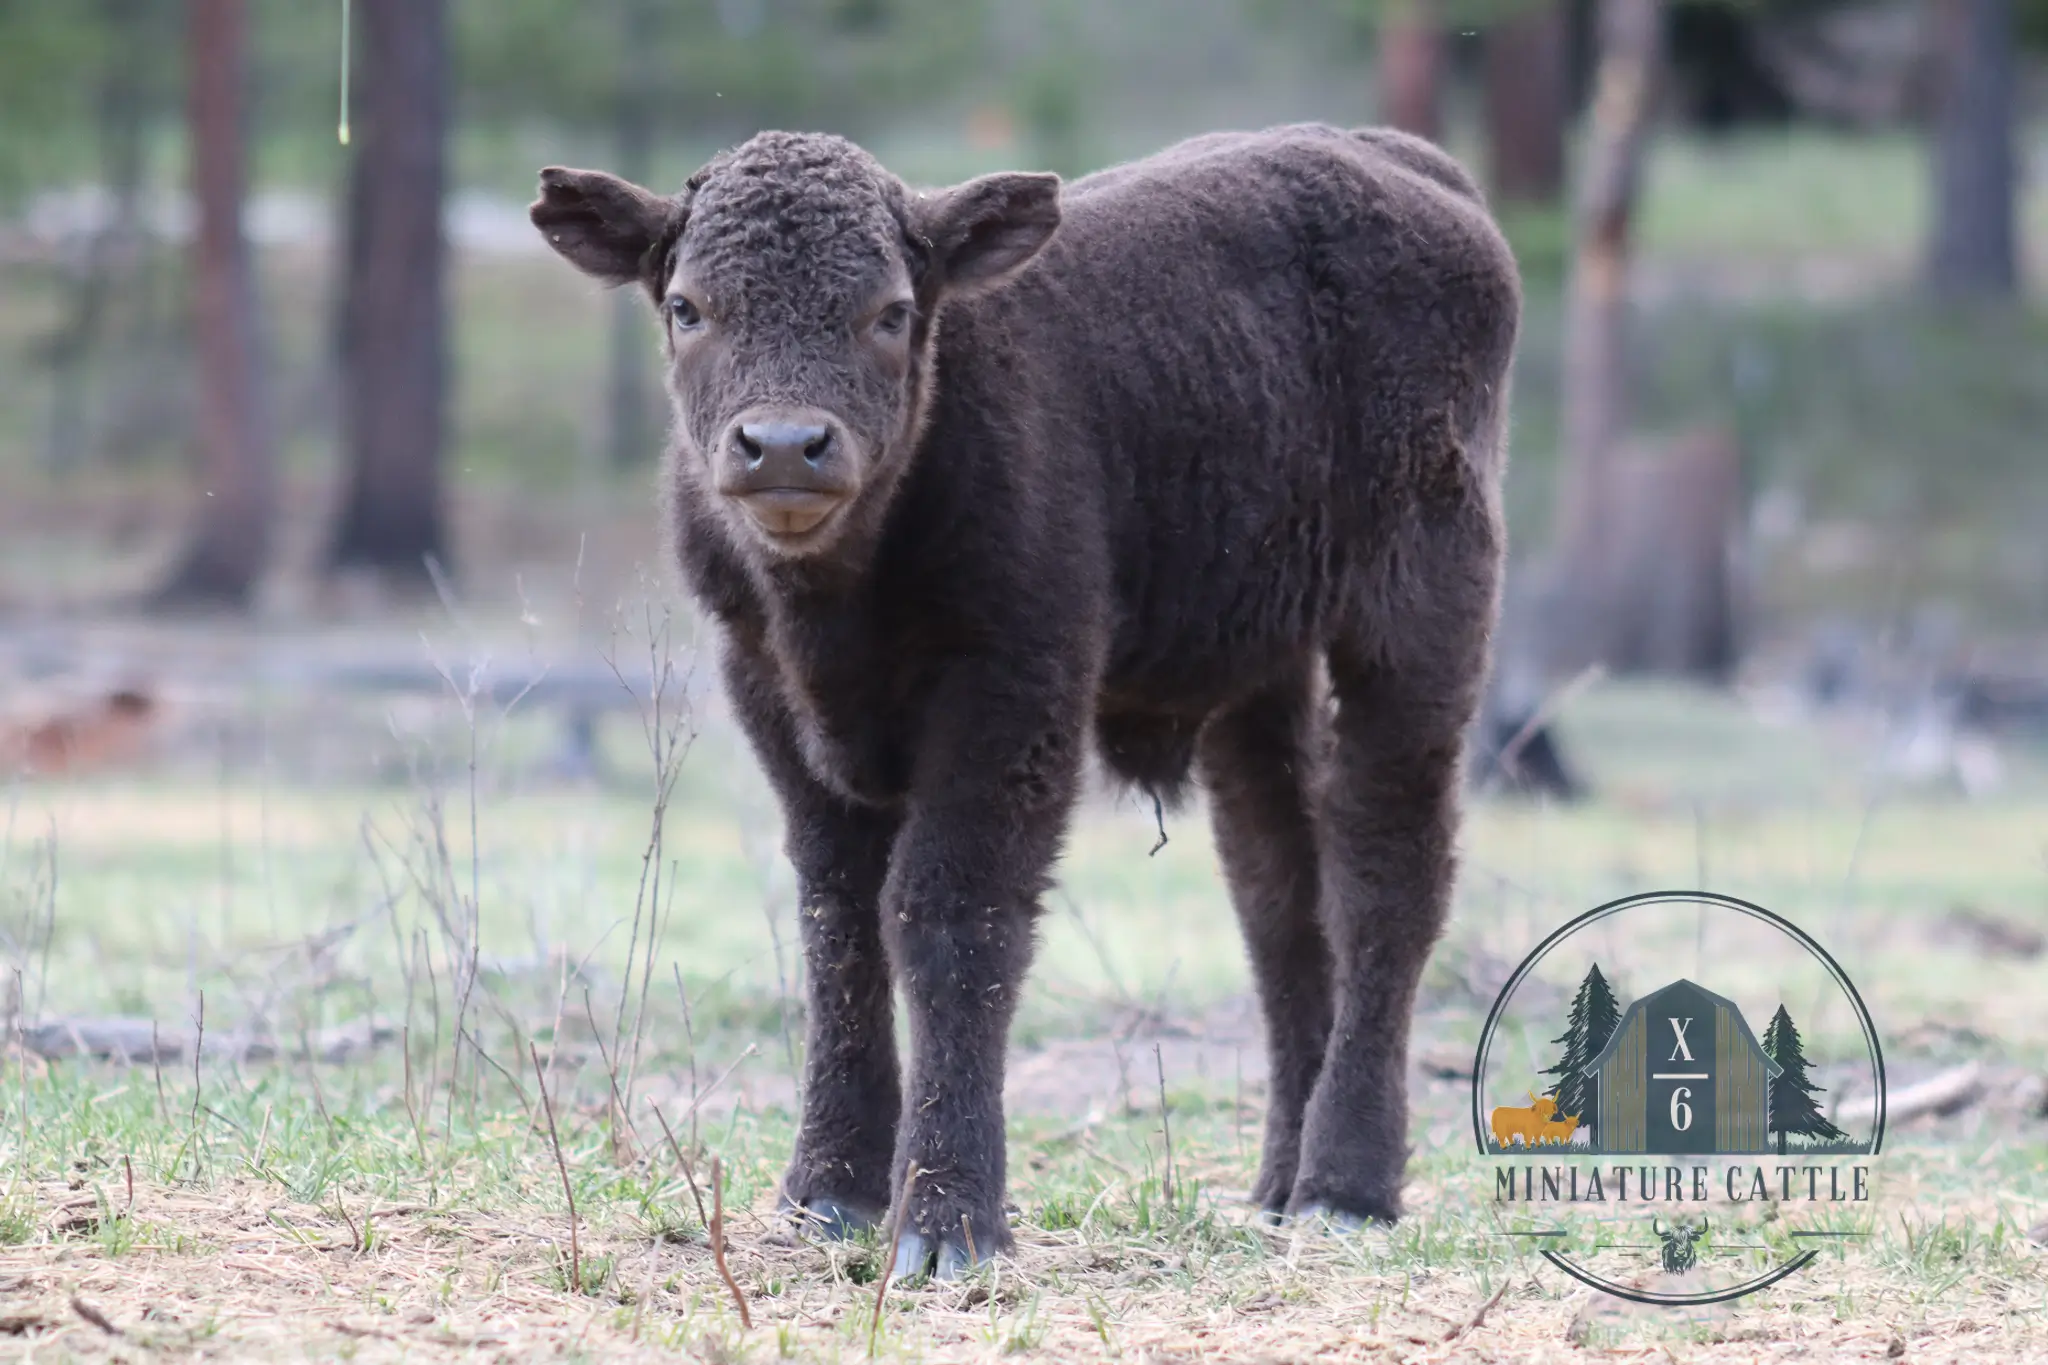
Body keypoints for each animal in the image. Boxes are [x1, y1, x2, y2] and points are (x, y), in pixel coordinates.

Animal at [529, 123, 1519, 1279]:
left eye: (890, 311)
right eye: (688, 306)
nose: (782, 446)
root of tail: (1410, 165)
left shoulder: (1012, 692)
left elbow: (953, 915)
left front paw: (947, 1221)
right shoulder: (771, 693)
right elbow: (837, 919)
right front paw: (828, 1194)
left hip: (1419, 620)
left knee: (1384, 876)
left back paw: (1344, 1189)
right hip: (1259, 680)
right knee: (1279, 900)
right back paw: (1277, 1184)